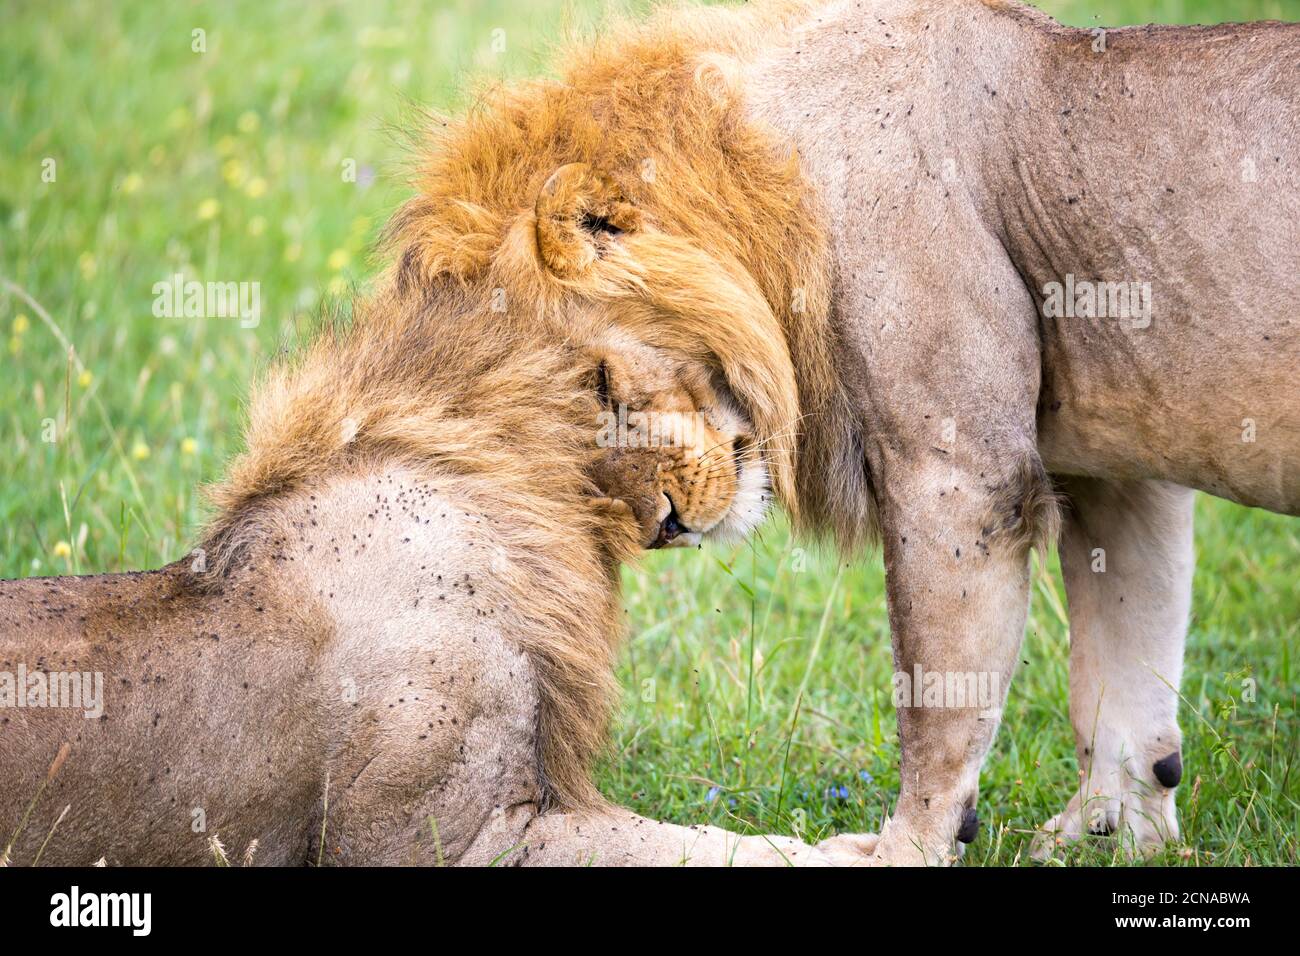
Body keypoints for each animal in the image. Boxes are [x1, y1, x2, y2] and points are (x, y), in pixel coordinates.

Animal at [380, 0, 1300, 864]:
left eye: (601, 385)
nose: (662, 528)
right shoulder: (1117, 474)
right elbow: (1127, 672)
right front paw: (1113, 836)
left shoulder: (963, 472)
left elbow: (939, 703)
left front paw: (908, 847)